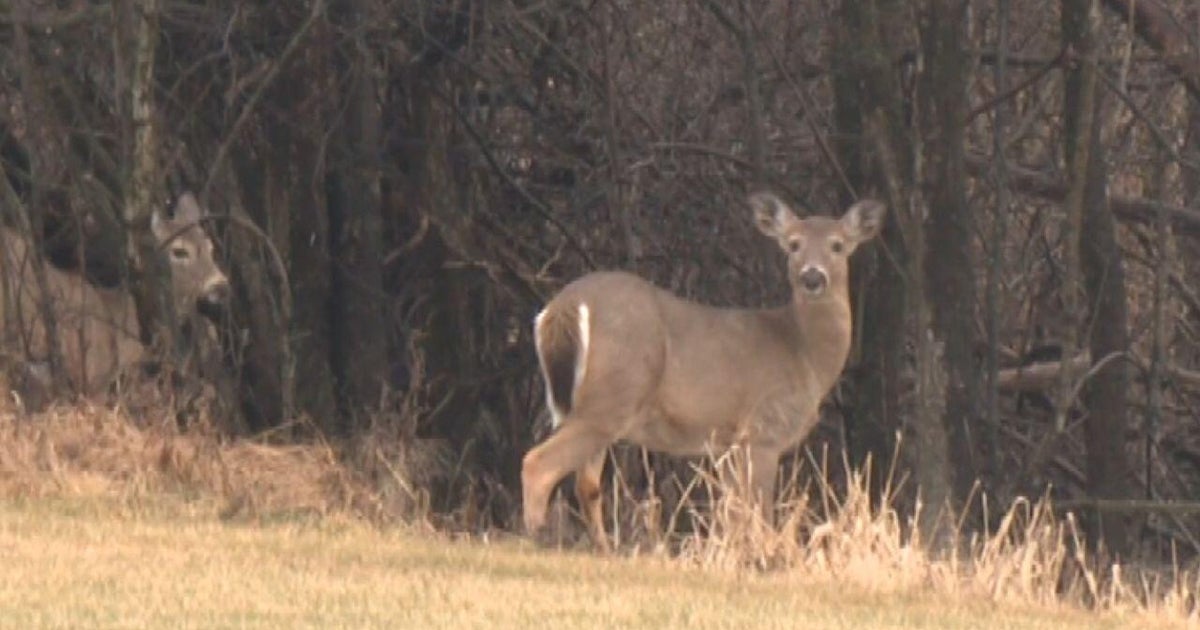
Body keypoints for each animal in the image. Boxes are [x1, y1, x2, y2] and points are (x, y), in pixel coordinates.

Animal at [521, 192, 886, 552]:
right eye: (793, 244)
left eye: (838, 245)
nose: (812, 277)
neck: (803, 352)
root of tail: (562, 307)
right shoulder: (764, 428)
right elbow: (761, 510)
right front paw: (767, 556)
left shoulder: (727, 444)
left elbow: (734, 511)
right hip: (615, 390)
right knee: (538, 462)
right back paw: (537, 538)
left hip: (591, 403)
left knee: (587, 484)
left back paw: (604, 548)